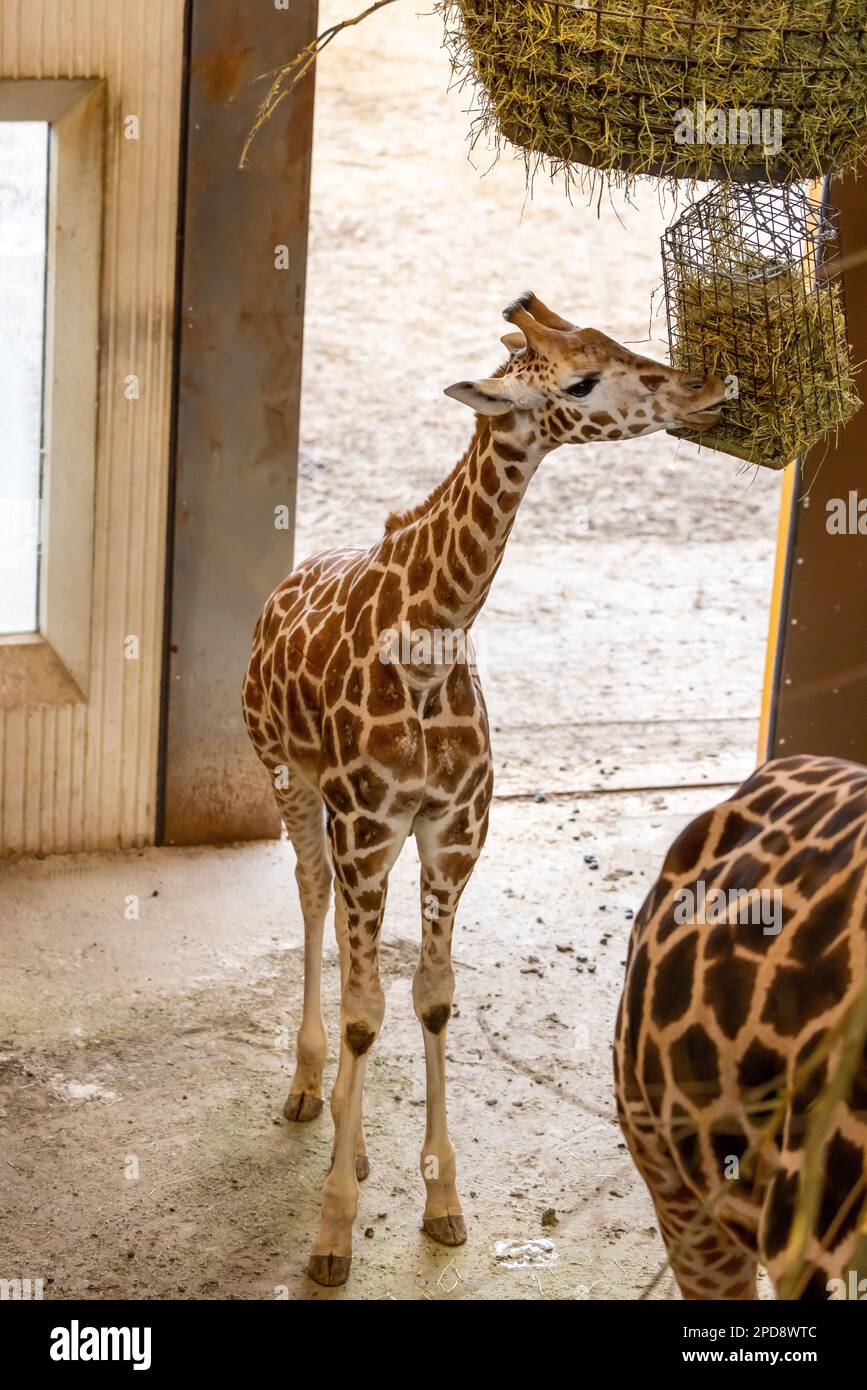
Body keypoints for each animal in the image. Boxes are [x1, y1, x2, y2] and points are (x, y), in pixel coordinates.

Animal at [242, 292, 727, 1286]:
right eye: (579, 381)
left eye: (611, 341)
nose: (705, 386)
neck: (429, 640)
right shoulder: (367, 825)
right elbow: (365, 1010)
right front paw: (332, 1237)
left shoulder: (451, 831)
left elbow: (427, 997)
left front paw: (441, 1205)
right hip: (287, 776)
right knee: (311, 898)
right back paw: (307, 1092)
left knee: (351, 942)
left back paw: (351, 1135)